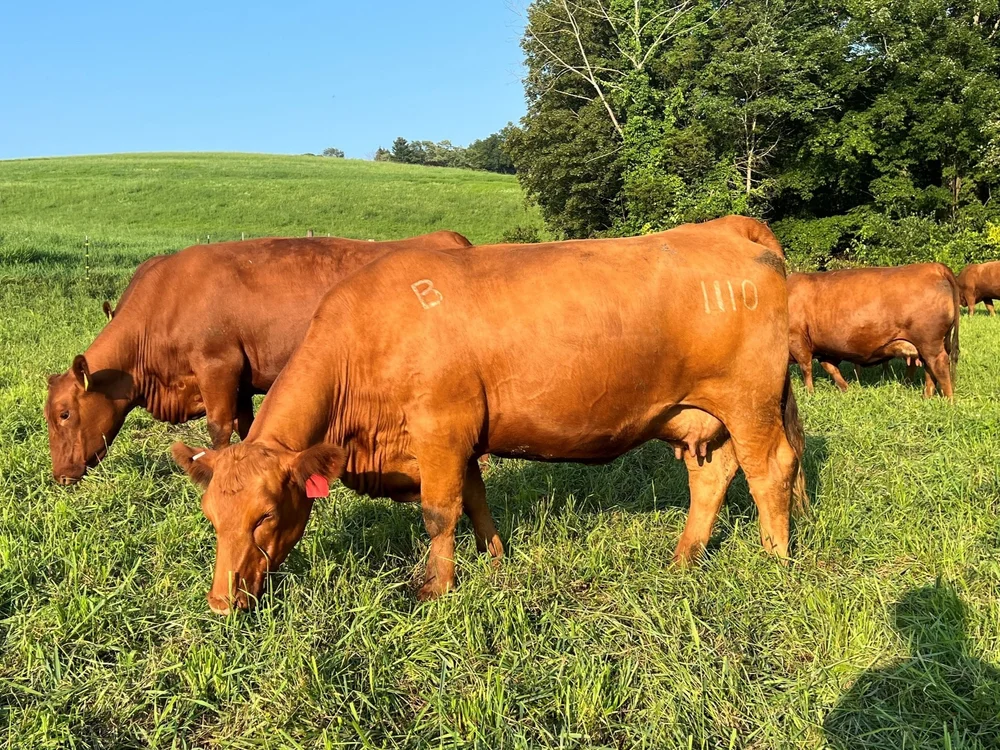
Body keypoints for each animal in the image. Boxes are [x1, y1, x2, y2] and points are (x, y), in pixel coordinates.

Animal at [44, 231, 472, 485]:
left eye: (64, 414)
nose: (60, 476)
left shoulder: (218, 366)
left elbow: (219, 427)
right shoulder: (243, 380)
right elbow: (245, 424)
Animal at [172, 216, 808, 614]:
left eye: (265, 516)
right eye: (211, 519)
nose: (222, 603)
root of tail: (726, 228)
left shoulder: (439, 431)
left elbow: (439, 513)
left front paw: (435, 589)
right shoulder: (461, 441)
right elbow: (475, 501)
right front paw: (497, 563)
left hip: (749, 404)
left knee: (770, 470)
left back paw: (776, 560)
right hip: (702, 414)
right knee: (713, 476)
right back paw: (684, 559)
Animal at [788, 263, 960, 399]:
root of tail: (935, 267)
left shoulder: (797, 341)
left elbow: (806, 369)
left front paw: (810, 394)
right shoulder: (825, 349)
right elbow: (831, 368)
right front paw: (846, 389)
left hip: (929, 342)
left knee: (940, 365)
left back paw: (948, 401)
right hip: (930, 344)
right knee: (930, 370)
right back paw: (927, 397)